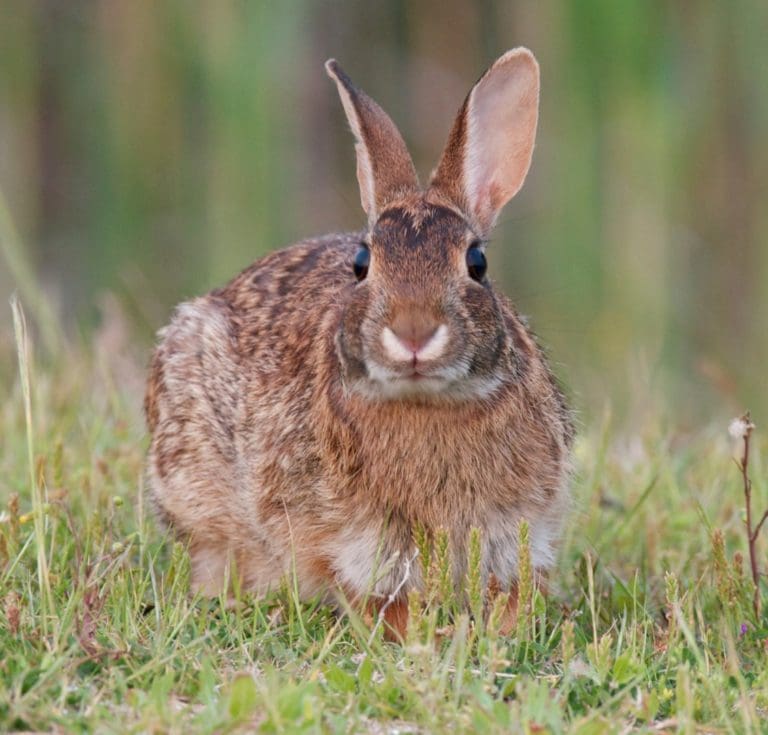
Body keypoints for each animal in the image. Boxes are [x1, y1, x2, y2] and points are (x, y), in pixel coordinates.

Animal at [145, 47, 573, 638]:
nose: (413, 333)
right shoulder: (347, 535)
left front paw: (500, 631)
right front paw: (412, 634)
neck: (425, 403)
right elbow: (366, 589)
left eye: (477, 263)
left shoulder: (520, 526)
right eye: (362, 263)